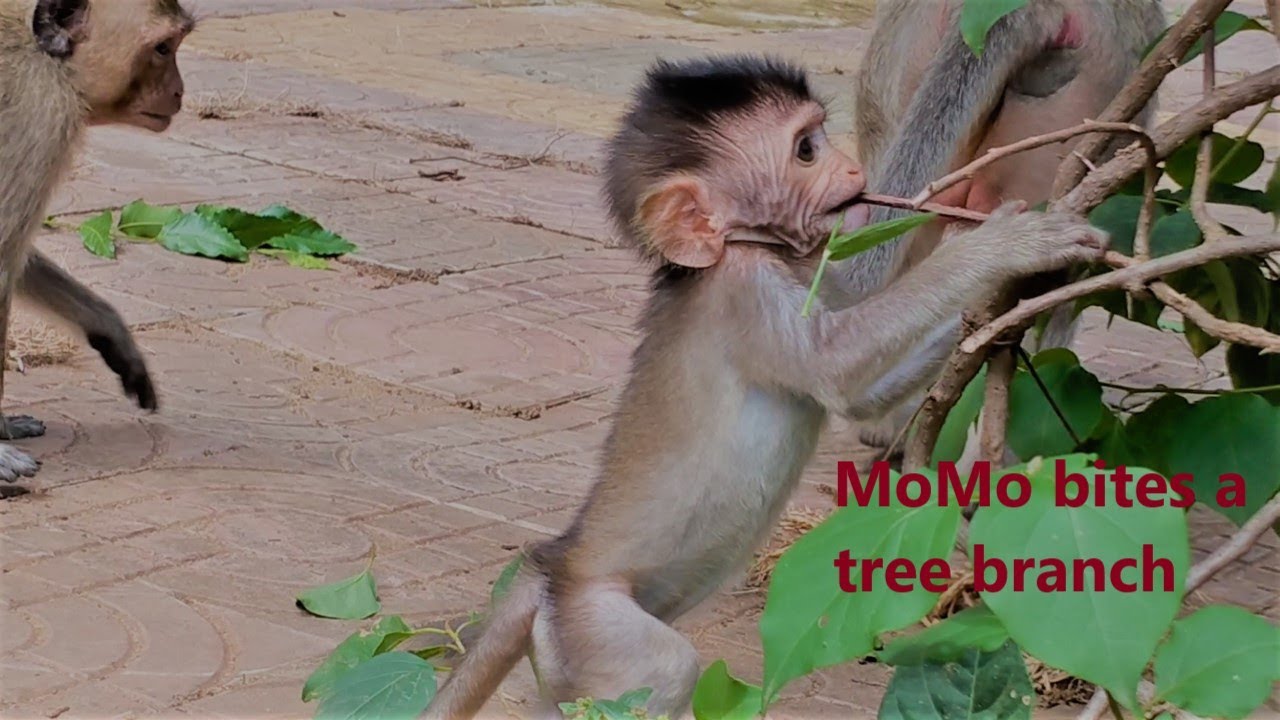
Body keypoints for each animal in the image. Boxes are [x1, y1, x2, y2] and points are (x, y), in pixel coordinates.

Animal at [424, 55, 1109, 720]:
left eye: (821, 138)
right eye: (806, 150)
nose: (852, 167)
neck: (749, 247)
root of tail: (552, 567)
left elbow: (869, 390)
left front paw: (1039, 284)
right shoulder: (743, 291)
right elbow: (840, 372)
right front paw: (1008, 244)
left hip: (566, 659)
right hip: (591, 624)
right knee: (666, 671)